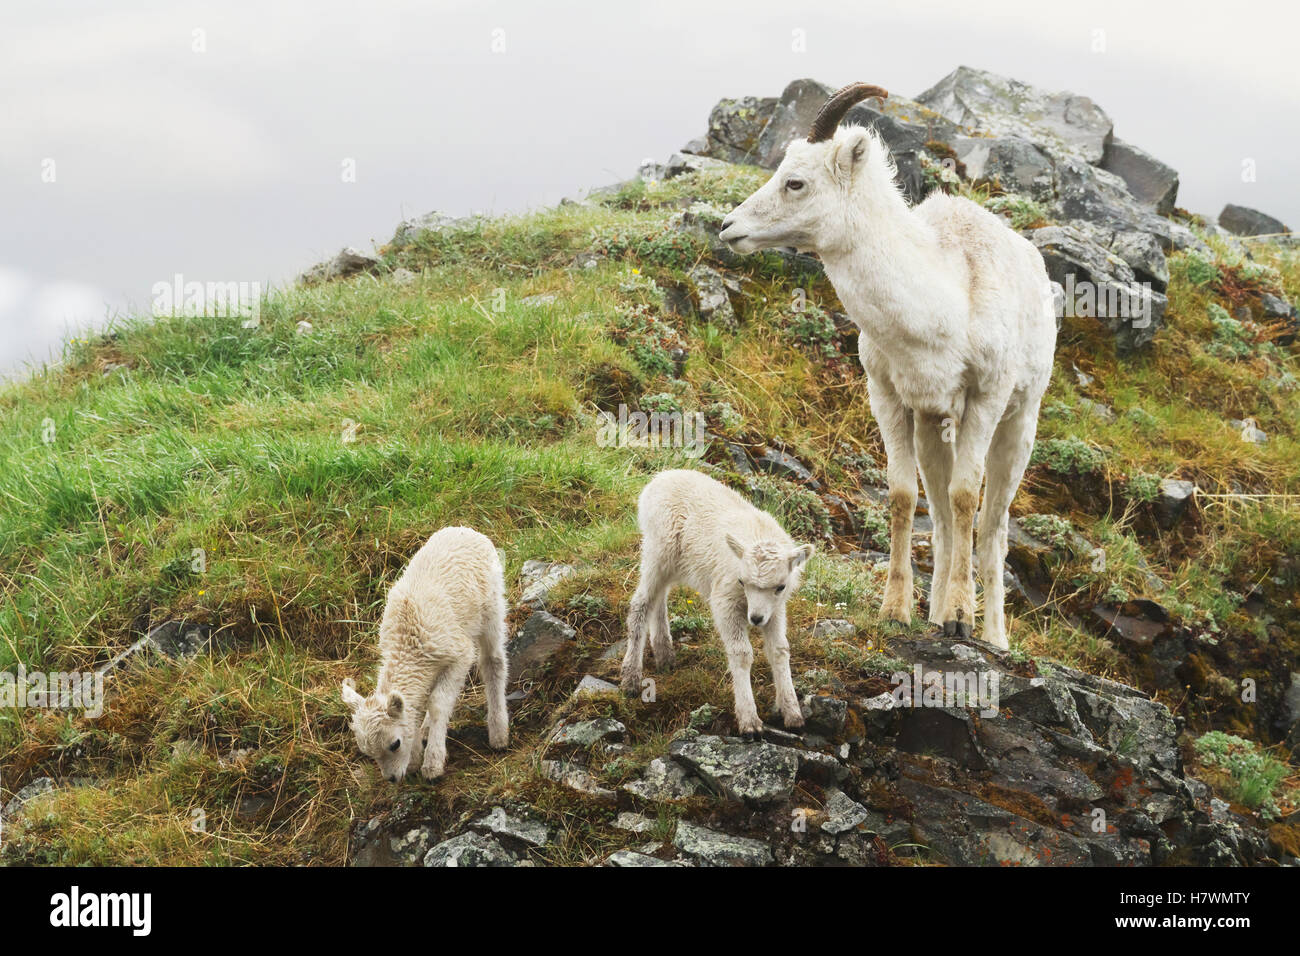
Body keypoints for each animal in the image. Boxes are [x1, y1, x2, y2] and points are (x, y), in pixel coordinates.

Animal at [341, 526, 509, 782]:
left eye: (395, 744)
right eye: (367, 752)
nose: (391, 779)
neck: (407, 647)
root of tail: (465, 529)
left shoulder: (459, 654)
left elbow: (438, 703)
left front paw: (432, 765)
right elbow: (418, 707)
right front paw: (416, 758)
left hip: (491, 606)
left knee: (493, 662)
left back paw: (499, 733)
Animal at [621, 469, 814, 736]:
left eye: (780, 587)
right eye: (742, 581)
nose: (755, 619)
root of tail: (657, 480)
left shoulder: (775, 609)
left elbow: (780, 650)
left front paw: (792, 713)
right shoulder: (725, 601)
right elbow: (741, 653)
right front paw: (749, 720)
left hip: (673, 563)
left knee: (658, 599)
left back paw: (664, 655)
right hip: (658, 550)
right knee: (641, 603)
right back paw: (630, 677)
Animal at [719, 83, 1056, 649]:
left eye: (795, 182)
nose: (728, 228)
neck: (942, 308)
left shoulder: (985, 399)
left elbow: (967, 497)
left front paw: (961, 619)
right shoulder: (890, 398)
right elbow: (903, 498)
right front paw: (896, 612)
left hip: (1018, 423)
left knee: (992, 525)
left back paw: (988, 633)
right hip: (934, 427)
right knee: (938, 518)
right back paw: (935, 614)